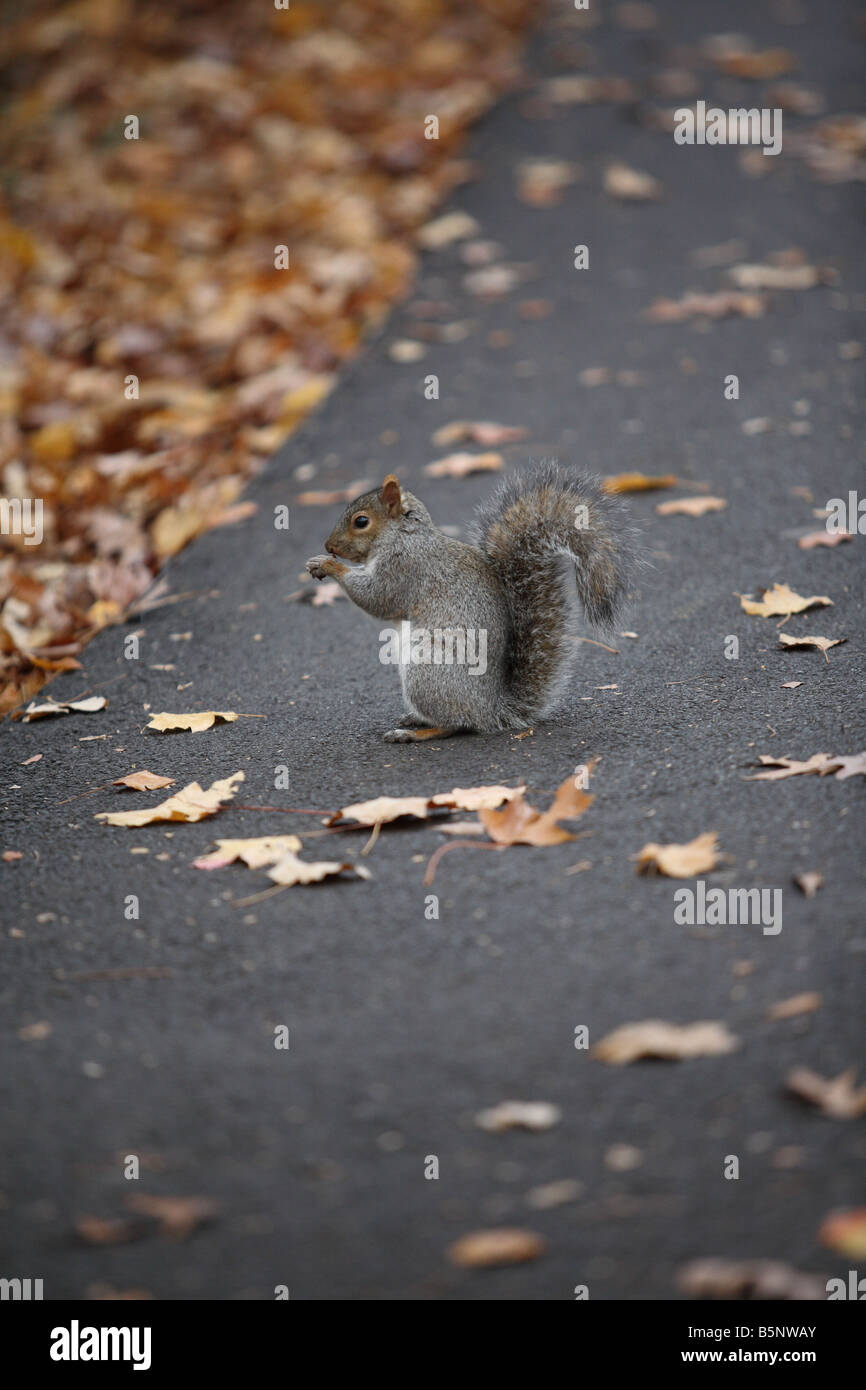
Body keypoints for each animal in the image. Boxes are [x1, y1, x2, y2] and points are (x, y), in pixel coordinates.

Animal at [306, 461, 638, 742]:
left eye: (361, 521)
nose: (328, 545)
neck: (403, 535)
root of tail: (489, 710)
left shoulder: (404, 567)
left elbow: (378, 597)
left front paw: (328, 565)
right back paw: (415, 719)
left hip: (427, 671)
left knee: (455, 724)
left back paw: (415, 733)